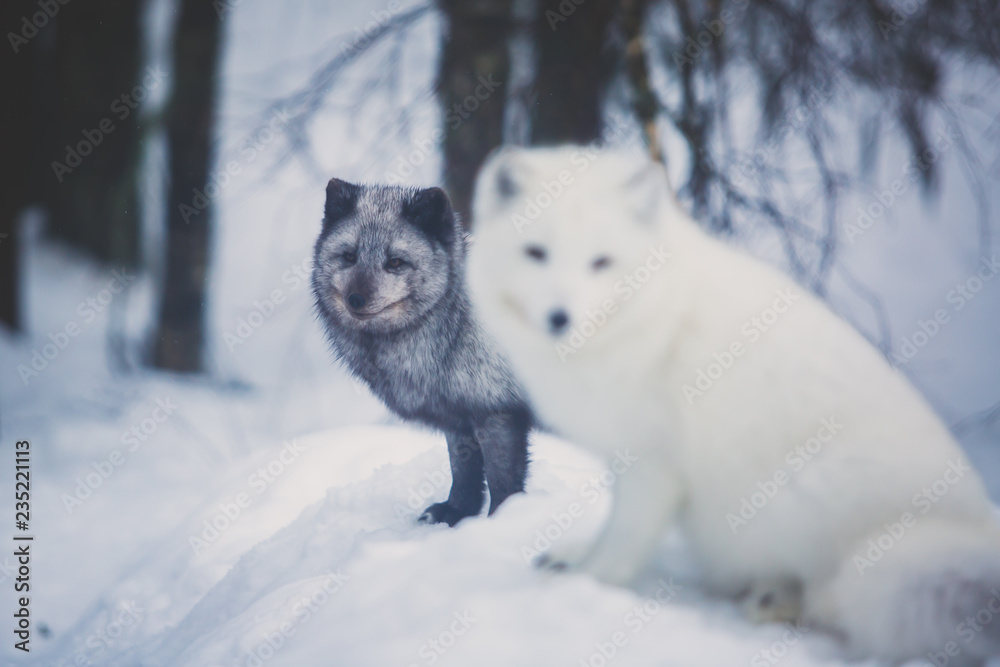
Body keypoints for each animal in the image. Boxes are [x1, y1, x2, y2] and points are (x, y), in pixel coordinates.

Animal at [312, 178, 532, 526]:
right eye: (348, 256)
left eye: (395, 262)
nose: (355, 299)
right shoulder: (458, 418)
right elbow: (463, 471)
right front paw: (455, 513)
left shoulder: (498, 413)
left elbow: (502, 482)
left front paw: (502, 522)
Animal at [466, 145, 1000, 665]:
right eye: (536, 253)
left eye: (601, 262)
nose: (560, 318)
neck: (648, 311)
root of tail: (963, 530)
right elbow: (612, 526)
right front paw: (574, 560)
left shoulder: (654, 464)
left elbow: (624, 541)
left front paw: (590, 583)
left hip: (797, 493)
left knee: (831, 600)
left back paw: (776, 600)